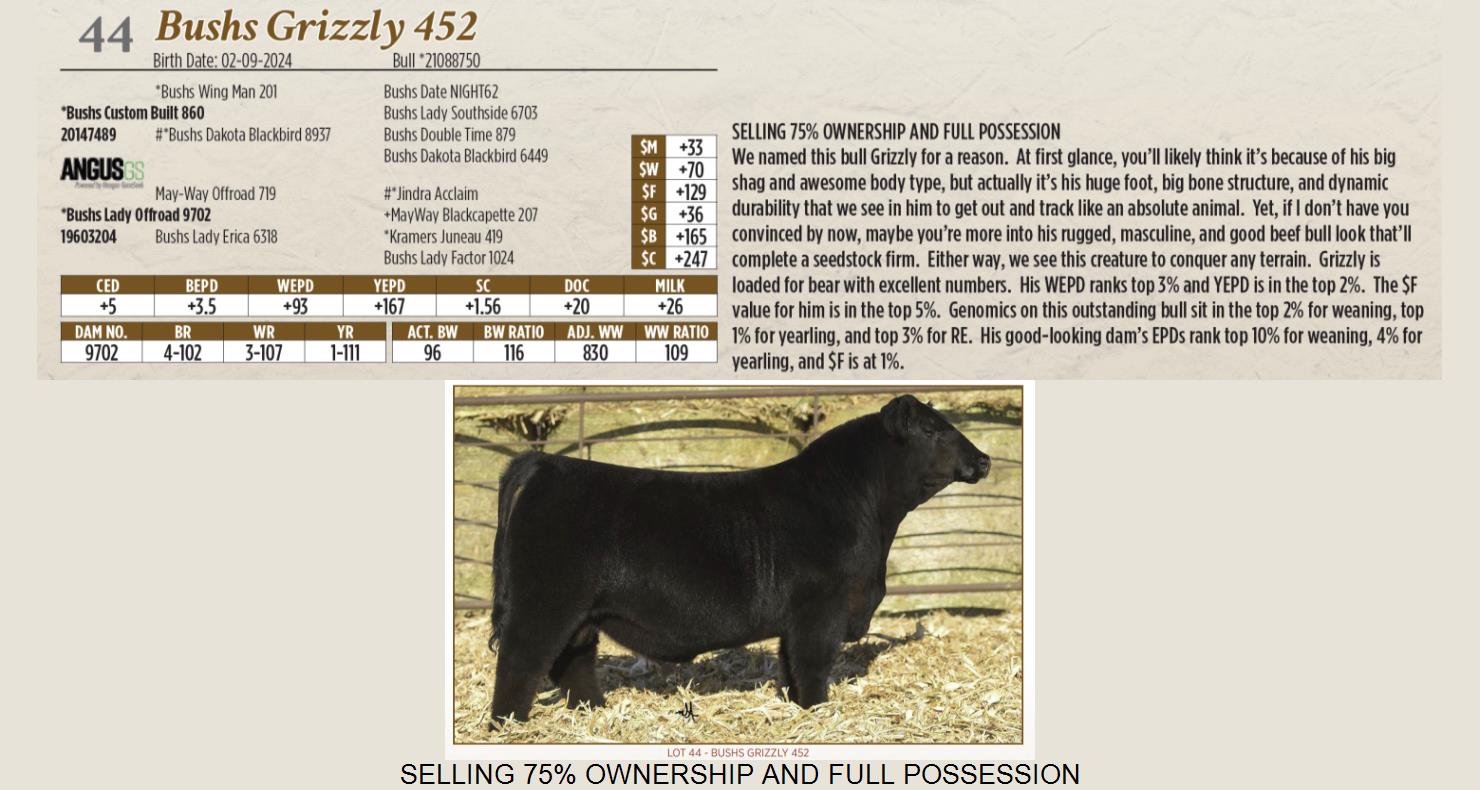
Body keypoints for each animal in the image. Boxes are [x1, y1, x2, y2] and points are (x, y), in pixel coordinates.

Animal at [486, 394, 991, 724]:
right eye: (932, 430)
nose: (984, 460)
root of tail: (547, 465)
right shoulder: (819, 610)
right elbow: (813, 664)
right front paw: (817, 709)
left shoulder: (797, 619)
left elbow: (790, 666)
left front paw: (796, 706)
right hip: (545, 602)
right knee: (521, 659)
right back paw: (508, 723)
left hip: (582, 613)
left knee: (570, 662)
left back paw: (595, 711)